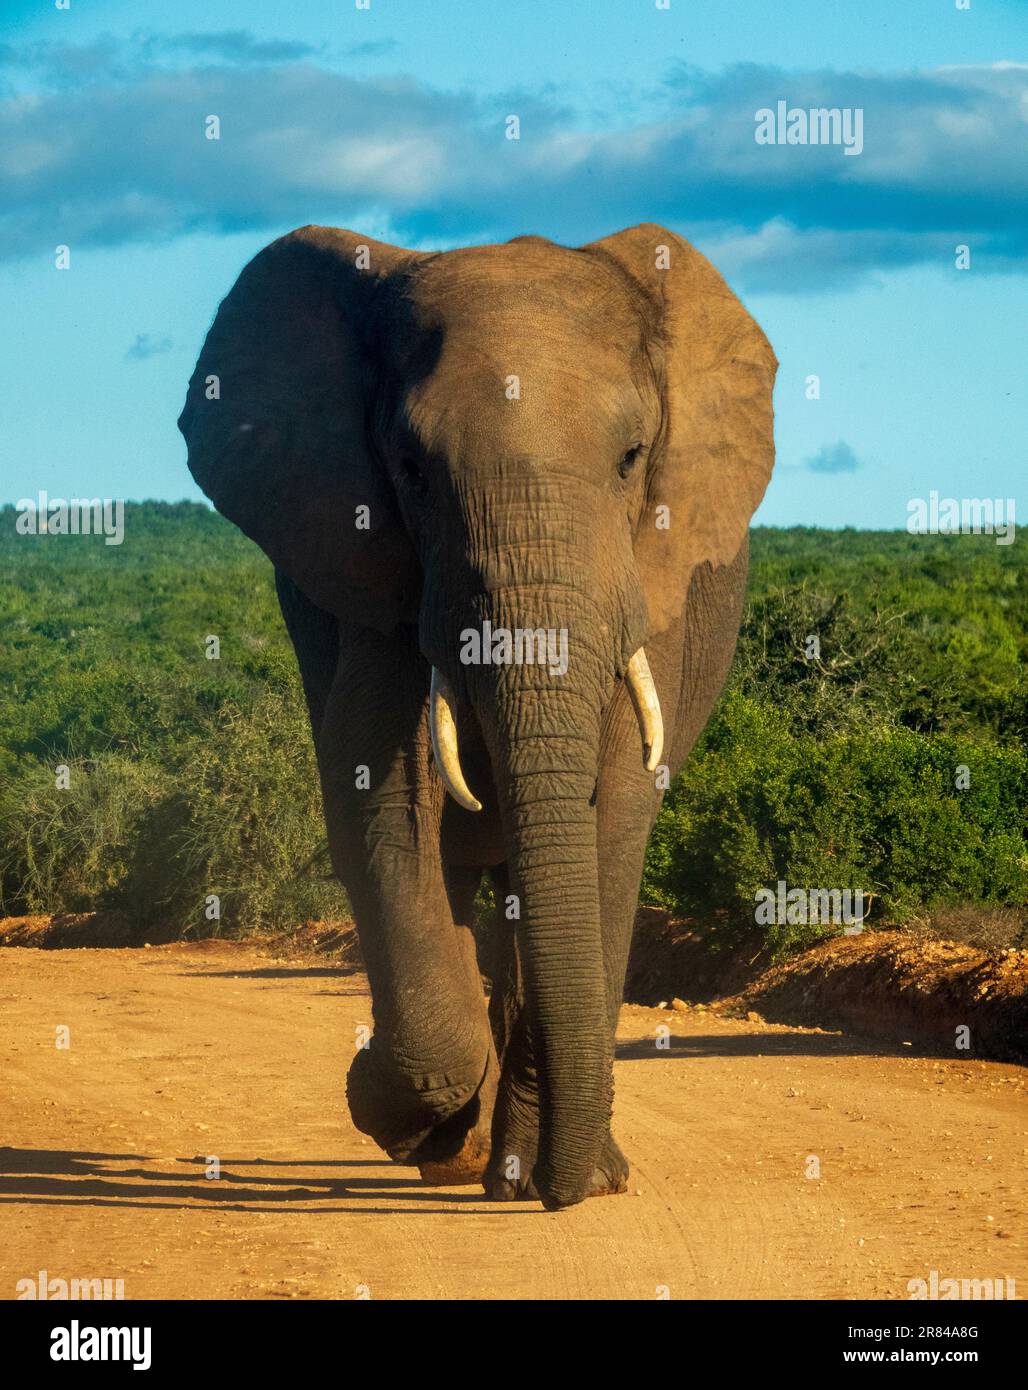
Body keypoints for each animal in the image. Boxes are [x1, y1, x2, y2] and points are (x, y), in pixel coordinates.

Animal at [178, 222, 776, 1210]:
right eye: (412, 470)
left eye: (631, 457)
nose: (562, 1195)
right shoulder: (372, 567)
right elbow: (379, 796)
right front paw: (399, 1111)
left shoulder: (651, 585)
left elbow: (615, 810)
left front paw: (561, 1177)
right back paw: (457, 1149)